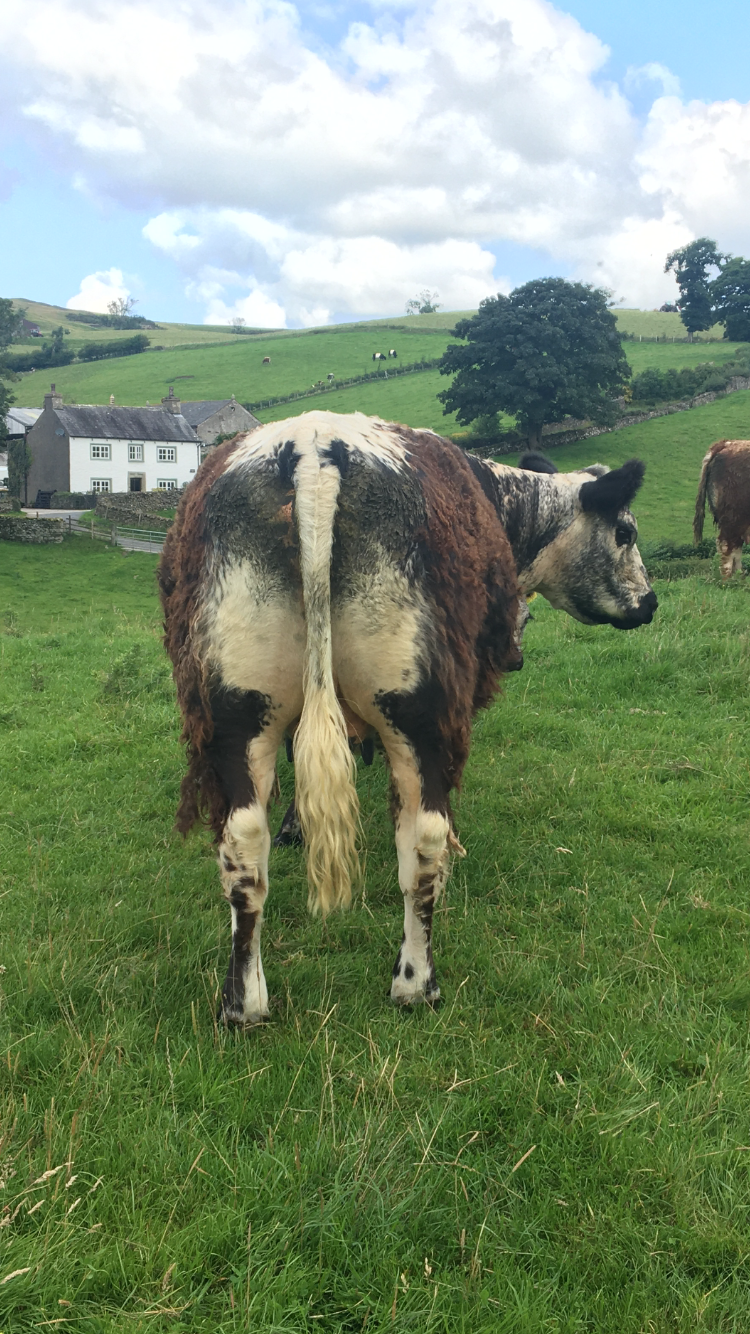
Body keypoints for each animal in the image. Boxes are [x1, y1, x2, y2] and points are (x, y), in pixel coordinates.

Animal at [159, 413, 656, 1027]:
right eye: (625, 533)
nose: (650, 603)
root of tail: (313, 450)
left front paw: (296, 824)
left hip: (236, 709)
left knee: (243, 849)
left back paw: (243, 1002)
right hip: (418, 714)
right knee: (424, 844)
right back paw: (417, 984)